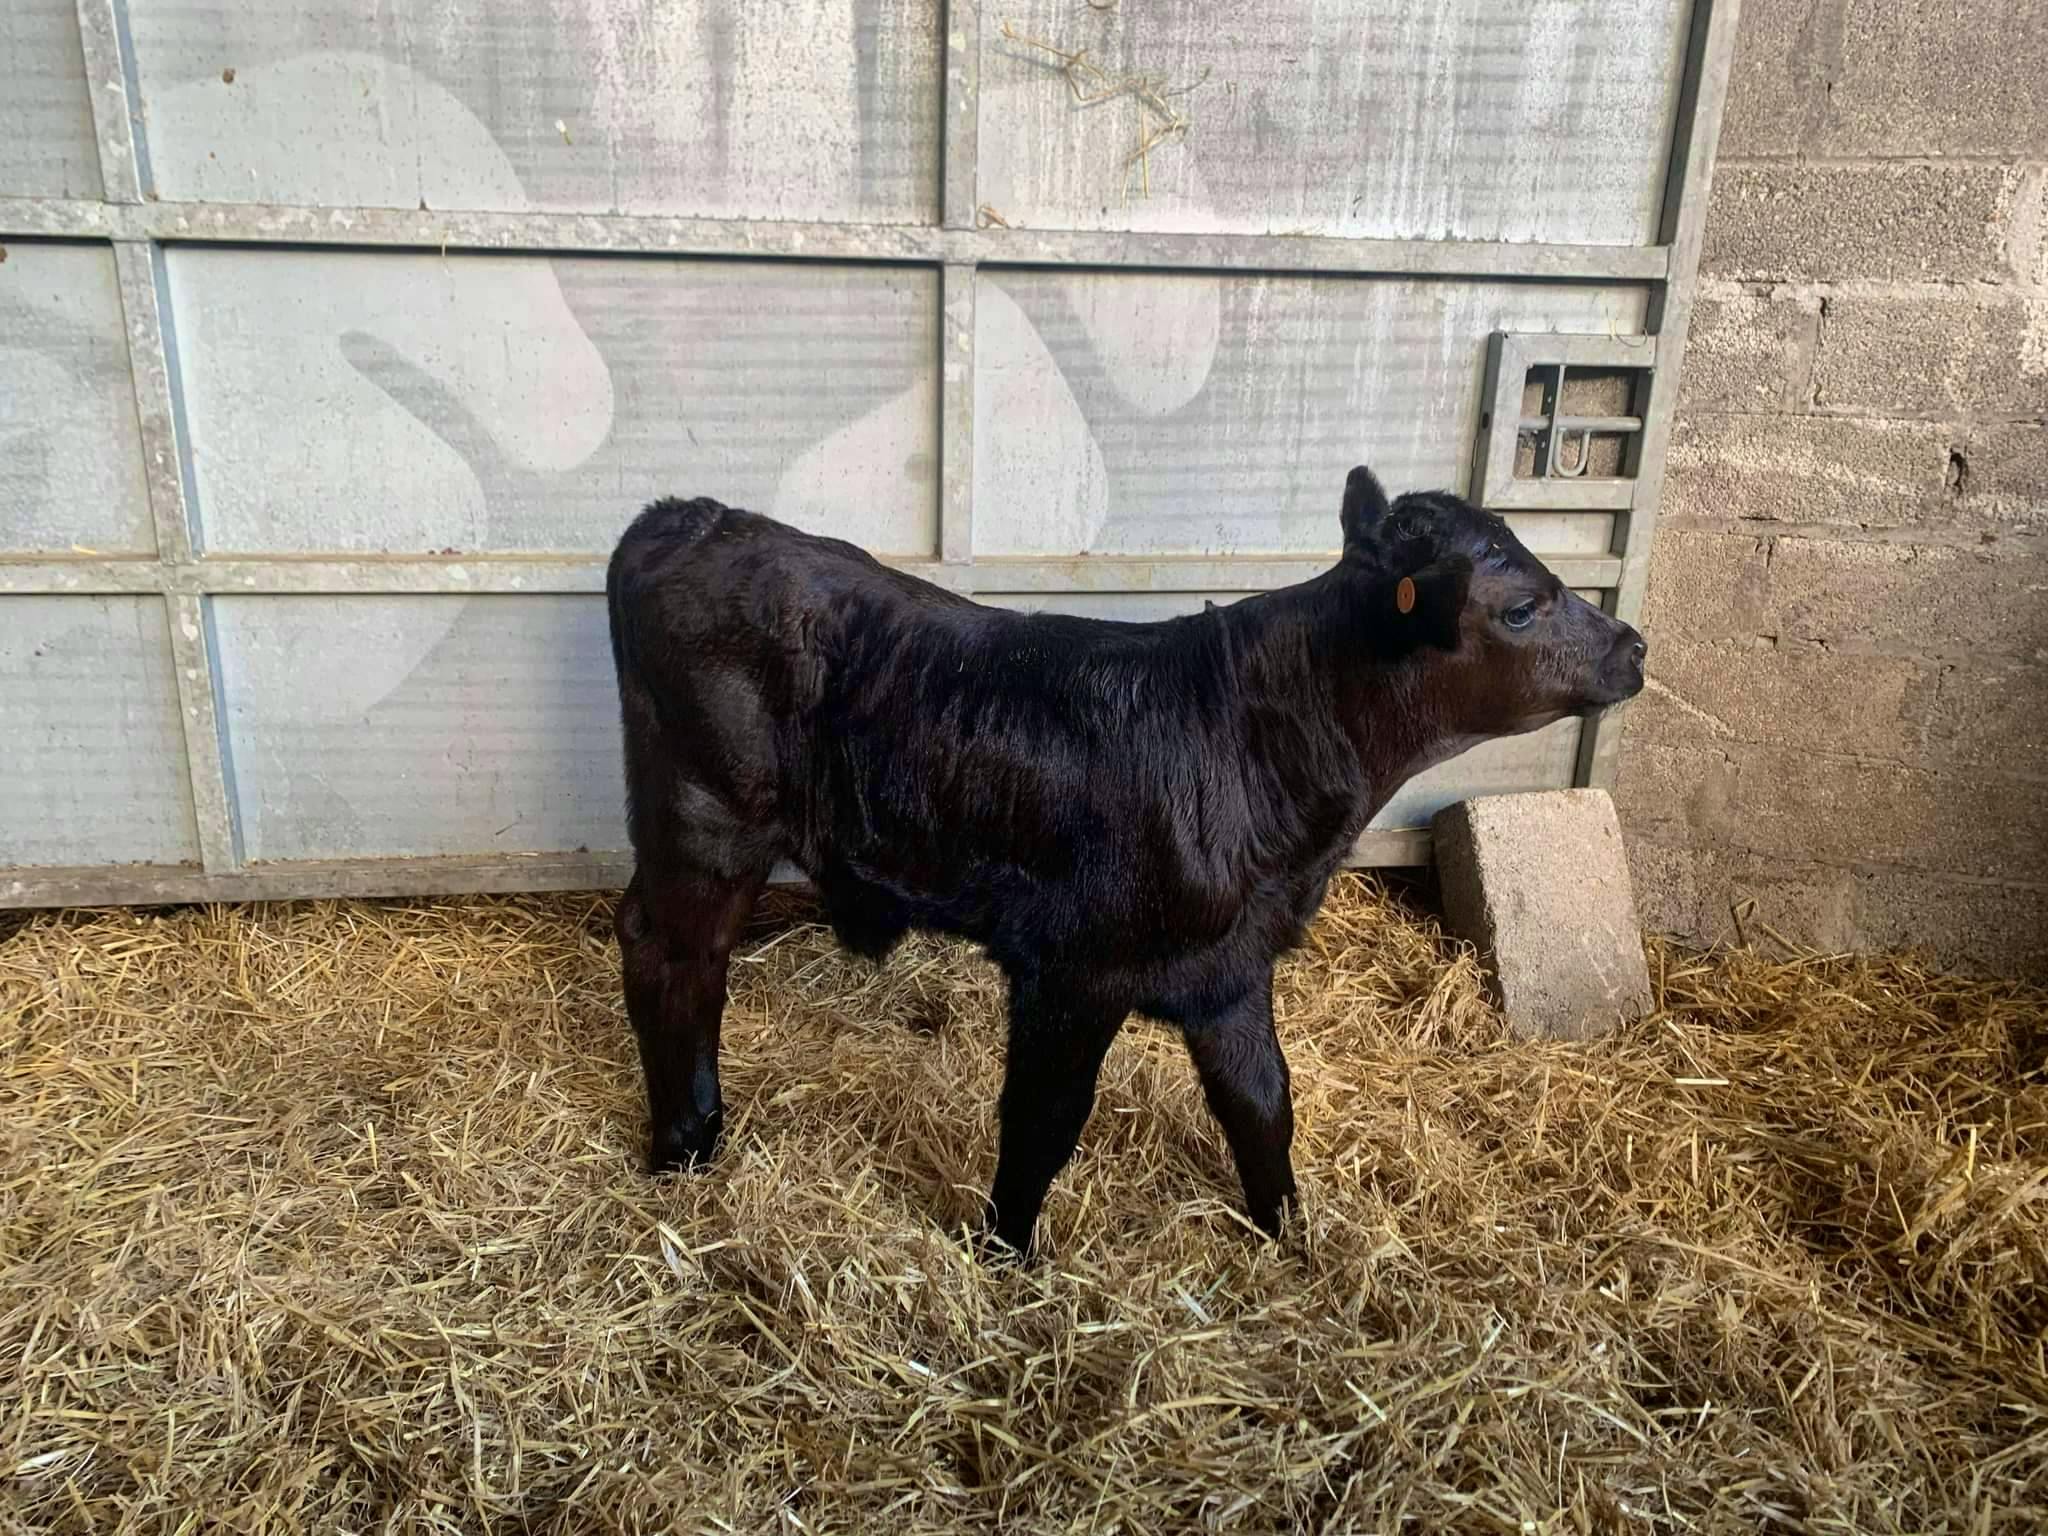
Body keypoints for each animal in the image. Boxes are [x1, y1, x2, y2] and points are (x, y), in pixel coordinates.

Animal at [605, 466, 1645, 1256]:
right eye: (1523, 606)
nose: (1634, 644)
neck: (1249, 744)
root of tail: (691, 517)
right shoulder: (1073, 970)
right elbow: (1043, 1118)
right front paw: (1003, 1253)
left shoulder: (1231, 967)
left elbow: (1262, 1101)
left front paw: (1290, 1237)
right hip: (705, 820)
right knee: (673, 956)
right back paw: (686, 1142)